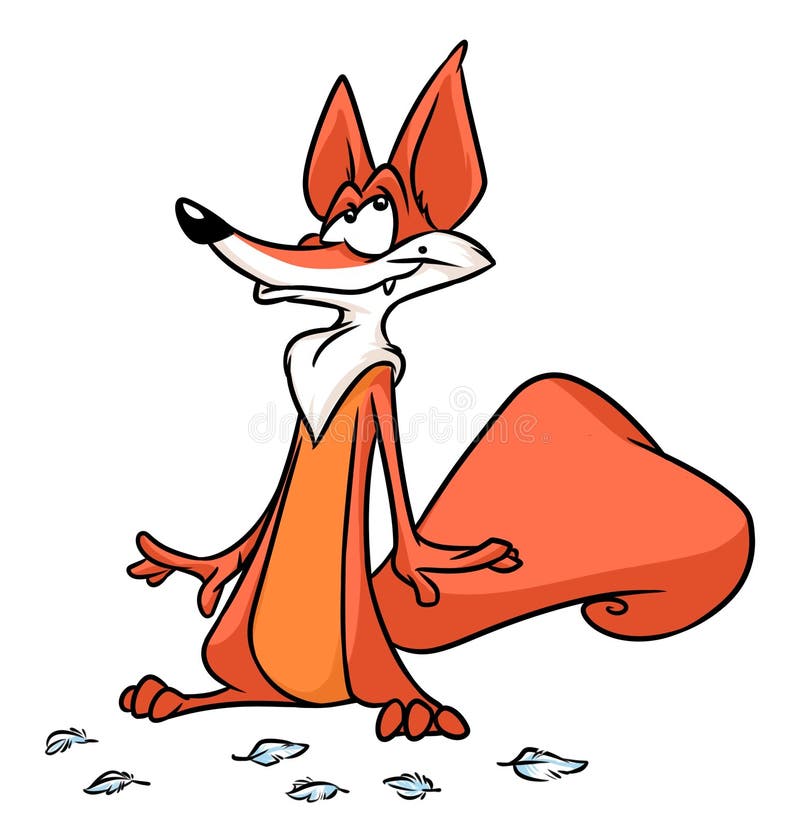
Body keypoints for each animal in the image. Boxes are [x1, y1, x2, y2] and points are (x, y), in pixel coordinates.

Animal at [122, 42, 753, 741]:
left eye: (375, 217)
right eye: (328, 226)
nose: (198, 219)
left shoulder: (376, 383)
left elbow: (401, 506)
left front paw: (436, 567)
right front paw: (195, 565)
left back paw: (407, 703)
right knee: (240, 688)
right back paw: (180, 695)